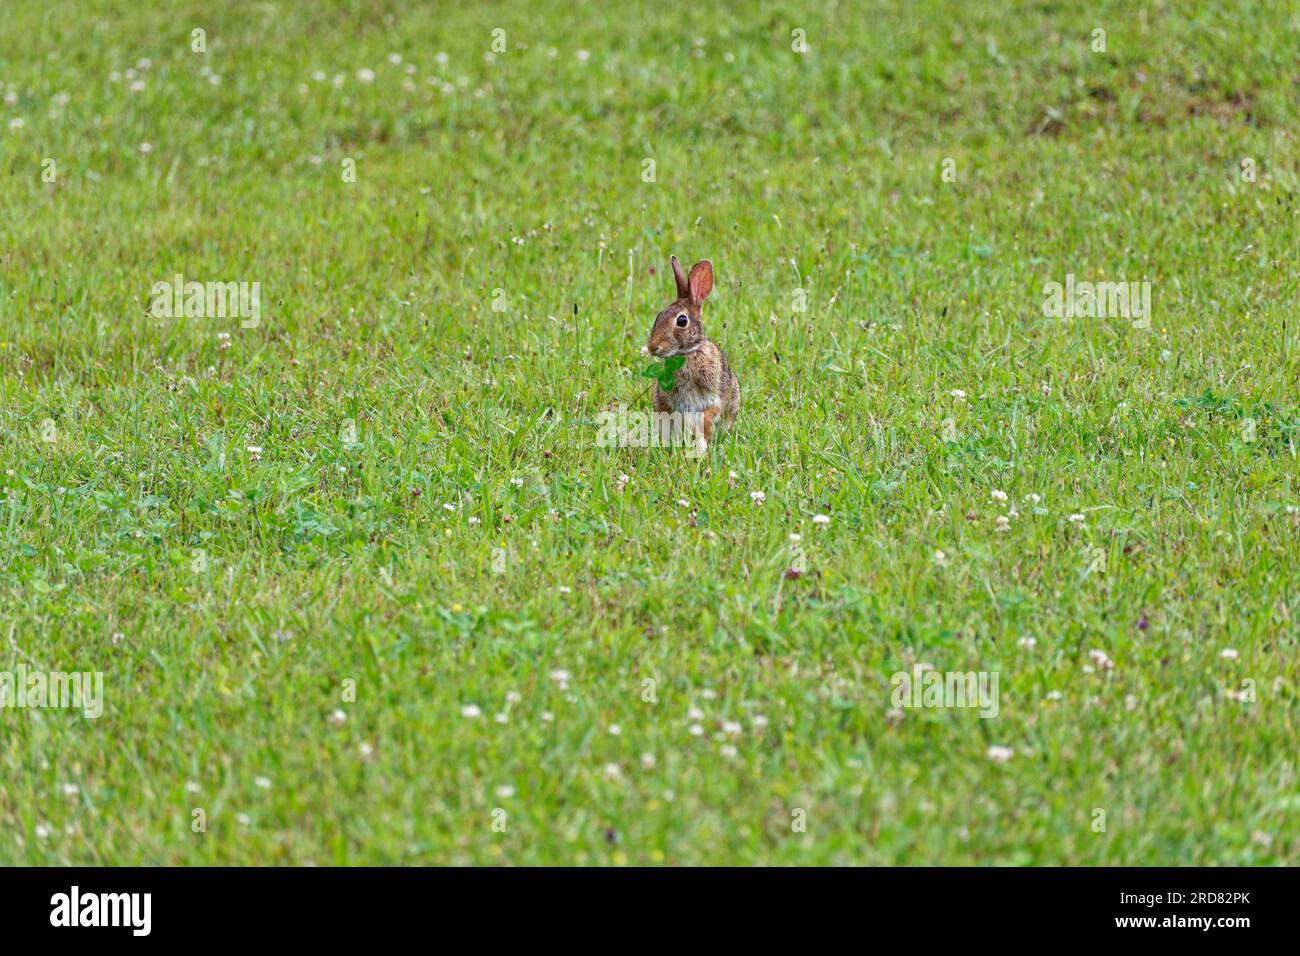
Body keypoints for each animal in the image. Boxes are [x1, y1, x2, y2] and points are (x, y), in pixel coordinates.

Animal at [646, 255, 741, 454]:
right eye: (659, 316)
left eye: (682, 321)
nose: (653, 347)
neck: (688, 354)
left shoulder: (714, 398)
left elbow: (708, 414)